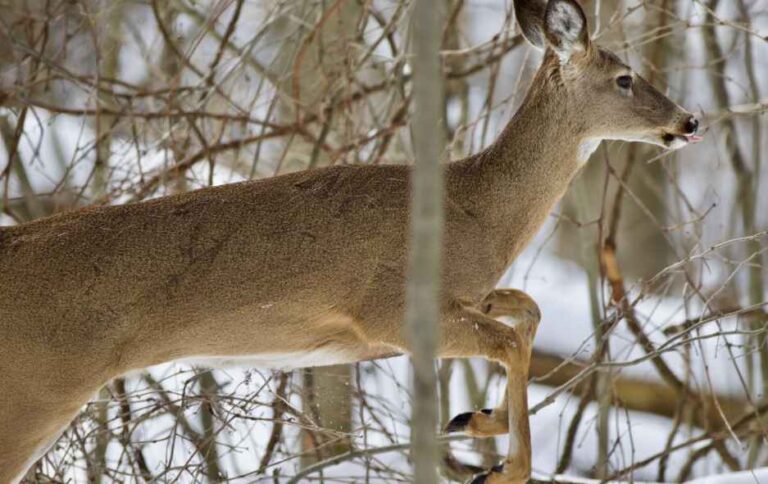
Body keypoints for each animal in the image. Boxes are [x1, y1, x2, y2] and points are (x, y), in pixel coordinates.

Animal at [0, 0, 701, 482]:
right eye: (624, 78)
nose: (690, 121)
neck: (475, 209)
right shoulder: (388, 309)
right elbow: (509, 339)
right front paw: (504, 468)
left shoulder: (460, 297)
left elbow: (527, 312)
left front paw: (474, 421)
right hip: (35, 387)